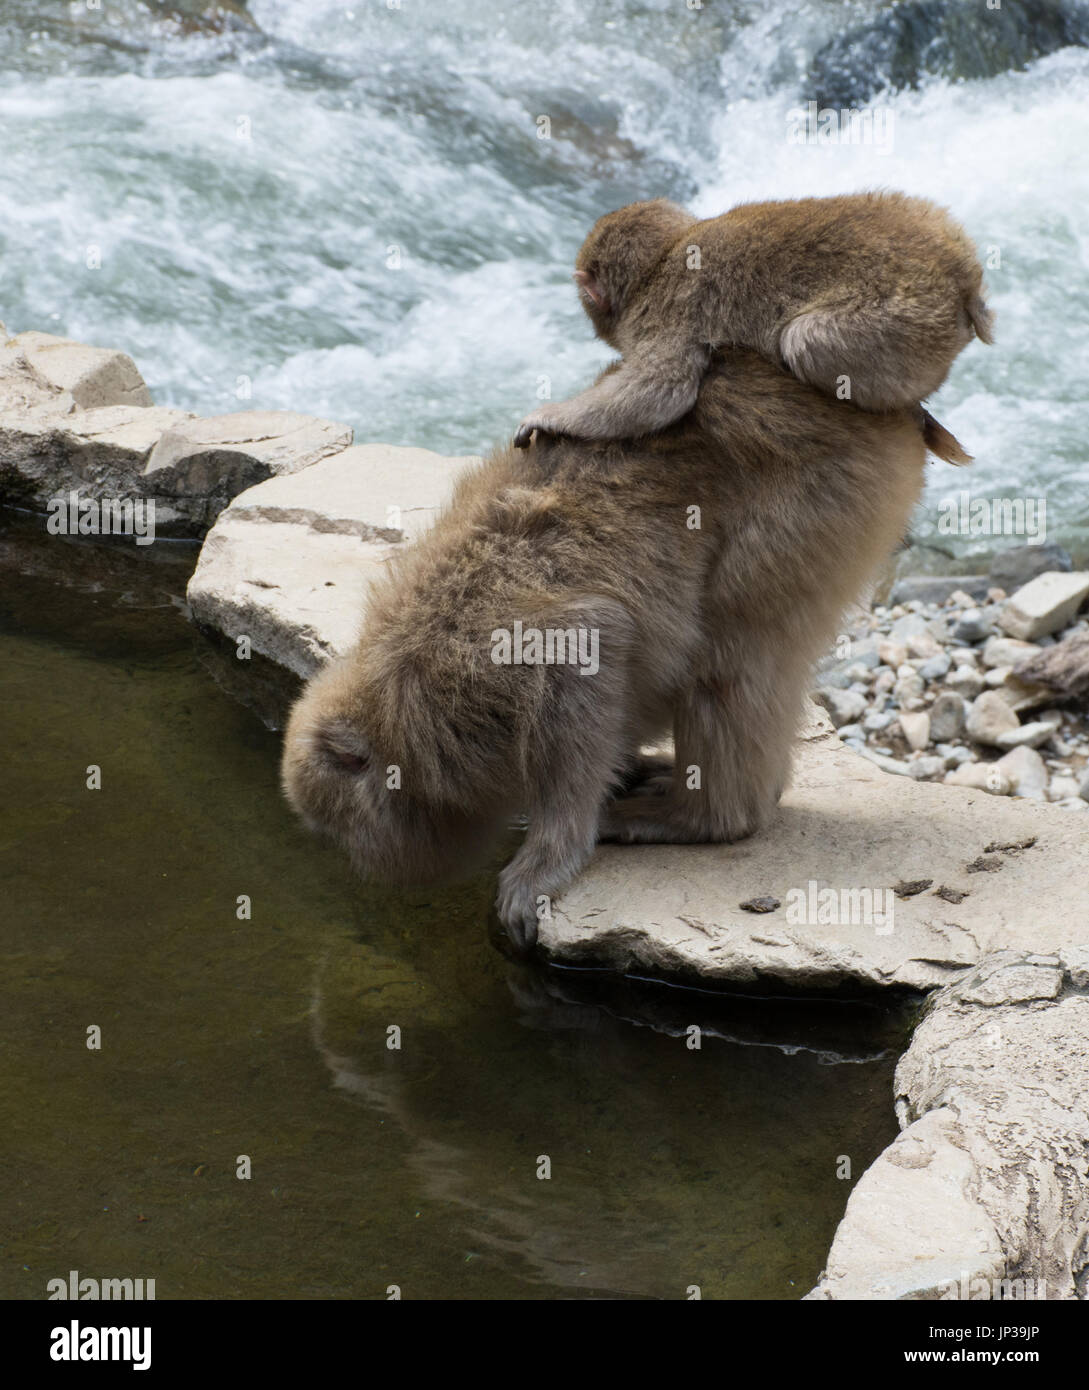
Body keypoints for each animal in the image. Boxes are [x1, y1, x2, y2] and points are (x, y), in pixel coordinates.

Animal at [281, 347, 929, 956]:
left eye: (336, 829)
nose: (358, 869)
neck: (400, 698)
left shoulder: (475, 662)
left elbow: (588, 644)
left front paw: (544, 862)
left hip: (817, 498)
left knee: (729, 650)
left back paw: (705, 818)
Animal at [513, 192, 993, 463]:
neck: (660, 261)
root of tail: (962, 277)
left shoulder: (664, 317)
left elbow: (659, 393)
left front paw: (548, 417)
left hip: (909, 322)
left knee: (802, 342)